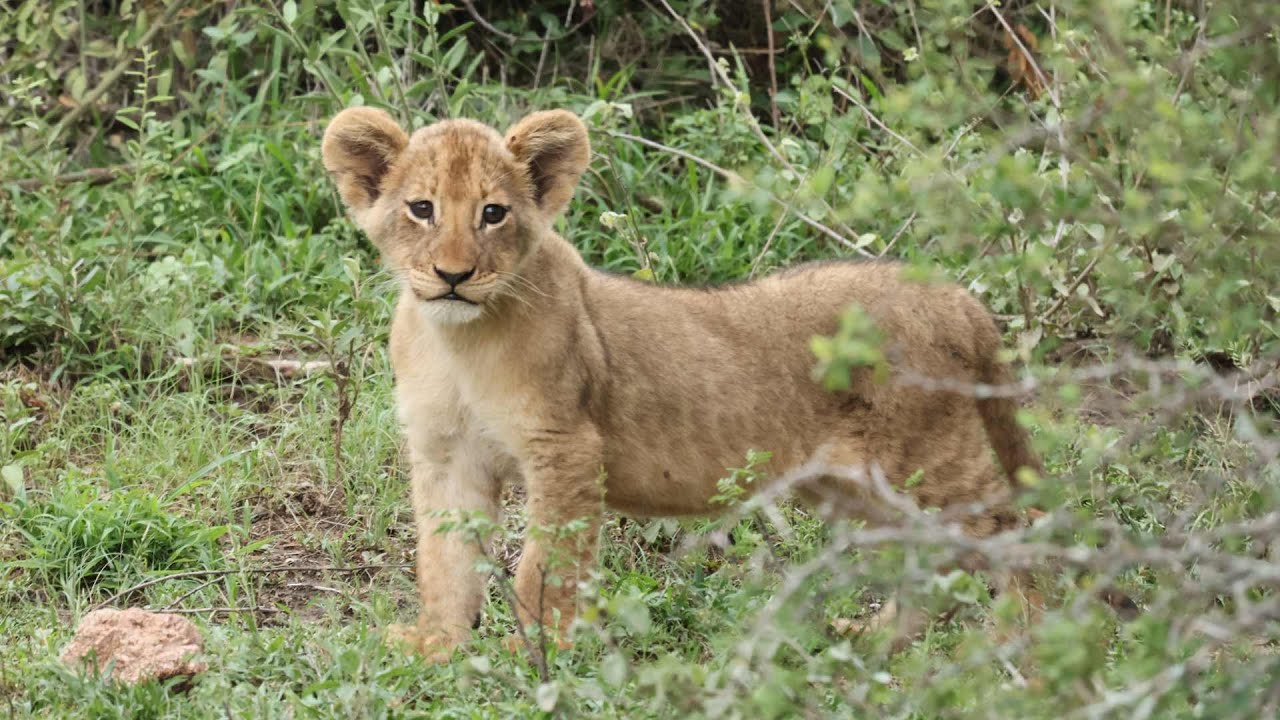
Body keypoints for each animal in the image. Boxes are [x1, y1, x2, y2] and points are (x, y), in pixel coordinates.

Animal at [321, 106, 1045, 659]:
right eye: (421, 208)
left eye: (494, 214)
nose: (453, 275)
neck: (457, 341)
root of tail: (954, 294)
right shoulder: (446, 456)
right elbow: (444, 561)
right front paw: (437, 646)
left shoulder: (566, 448)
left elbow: (543, 567)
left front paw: (535, 655)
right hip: (851, 486)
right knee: (932, 561)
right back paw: (872, 640)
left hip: (929, 464)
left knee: (1020, 527)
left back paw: (1028, 643)